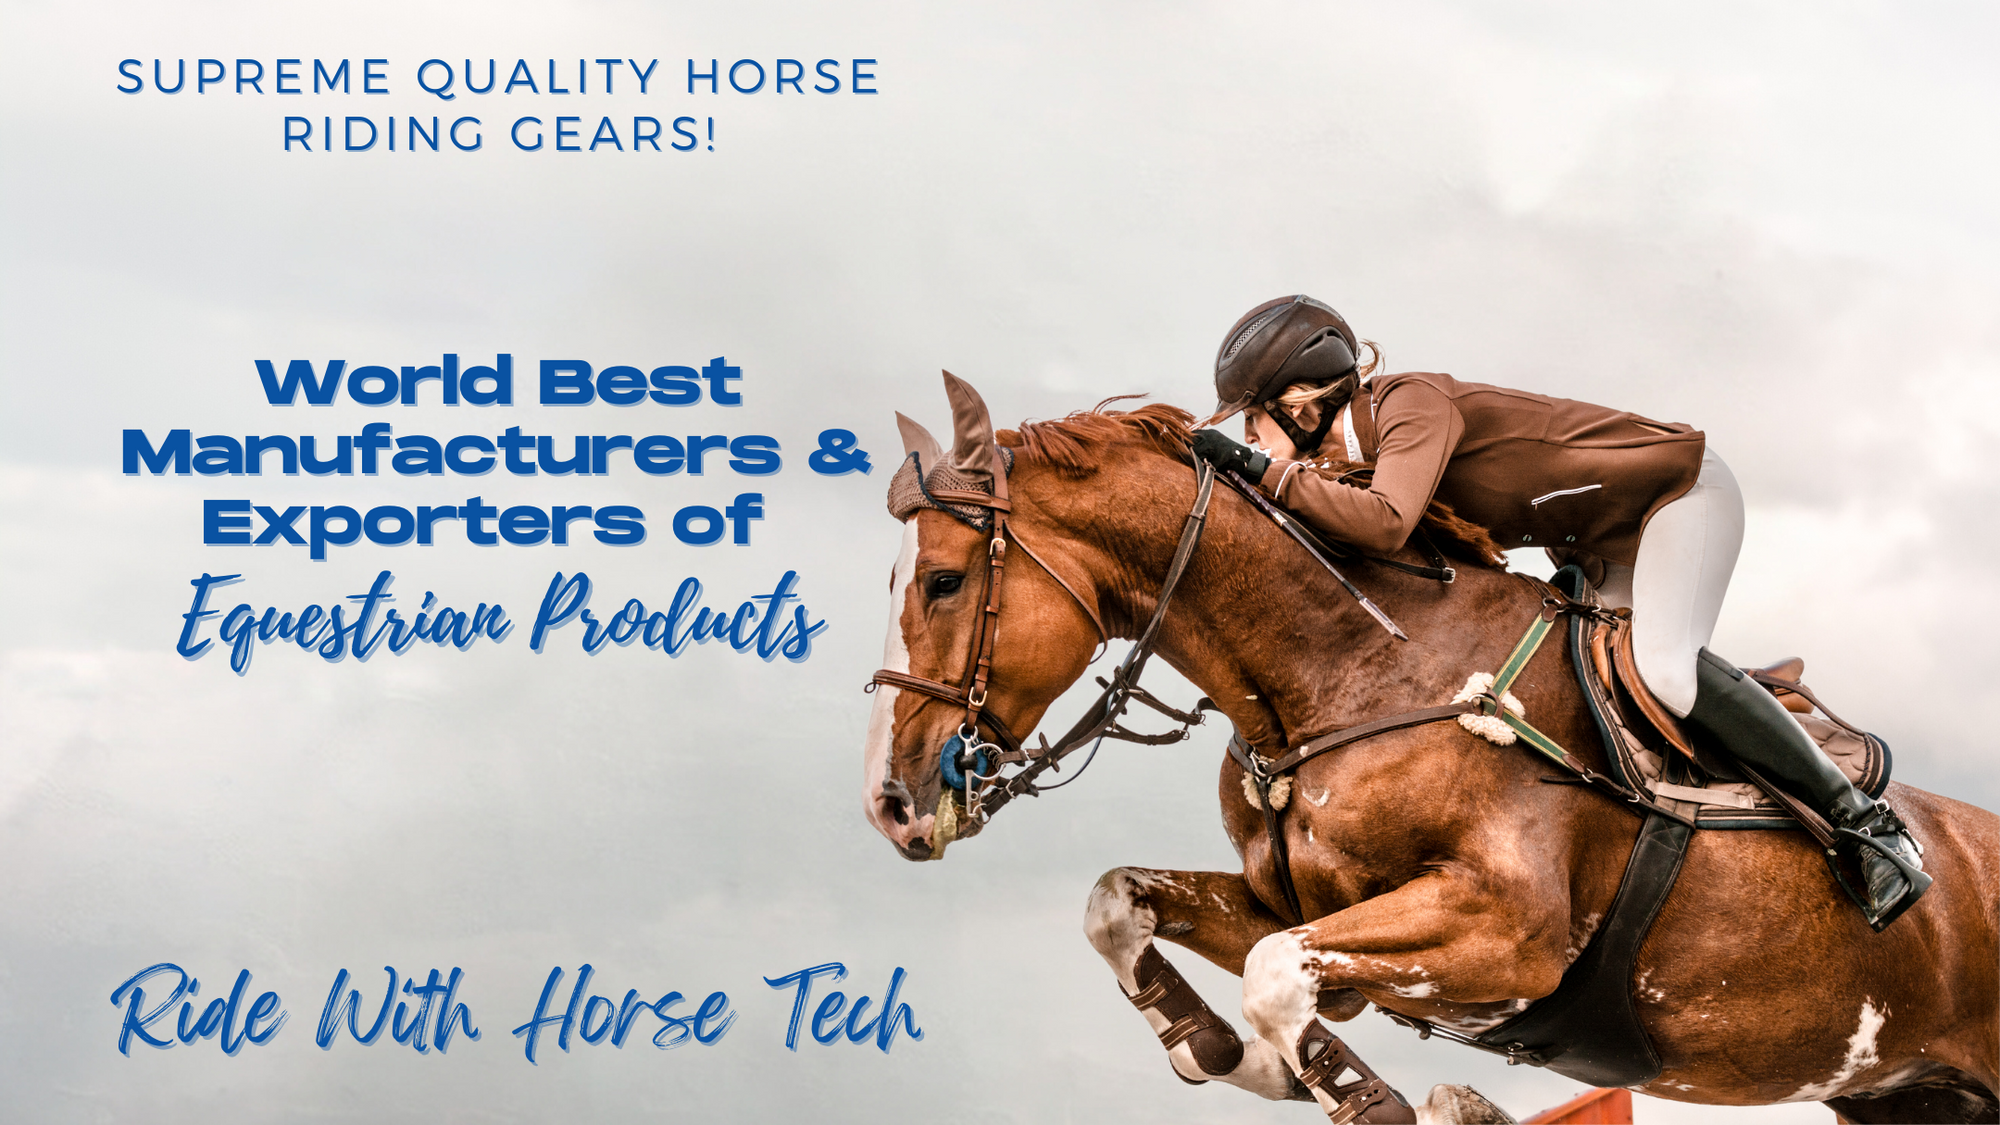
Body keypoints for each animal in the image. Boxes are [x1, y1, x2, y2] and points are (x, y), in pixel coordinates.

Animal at [860, 374, 2000, 1123]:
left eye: (945, 581)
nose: (889, 805)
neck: (1353, 671)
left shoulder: (1505, 928)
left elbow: (1275, 974)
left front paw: (1364, 1095)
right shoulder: (1295, 905)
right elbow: (1122, 906)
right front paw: (1230, 1053)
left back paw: (1880, 855)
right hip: (1908, 1098)